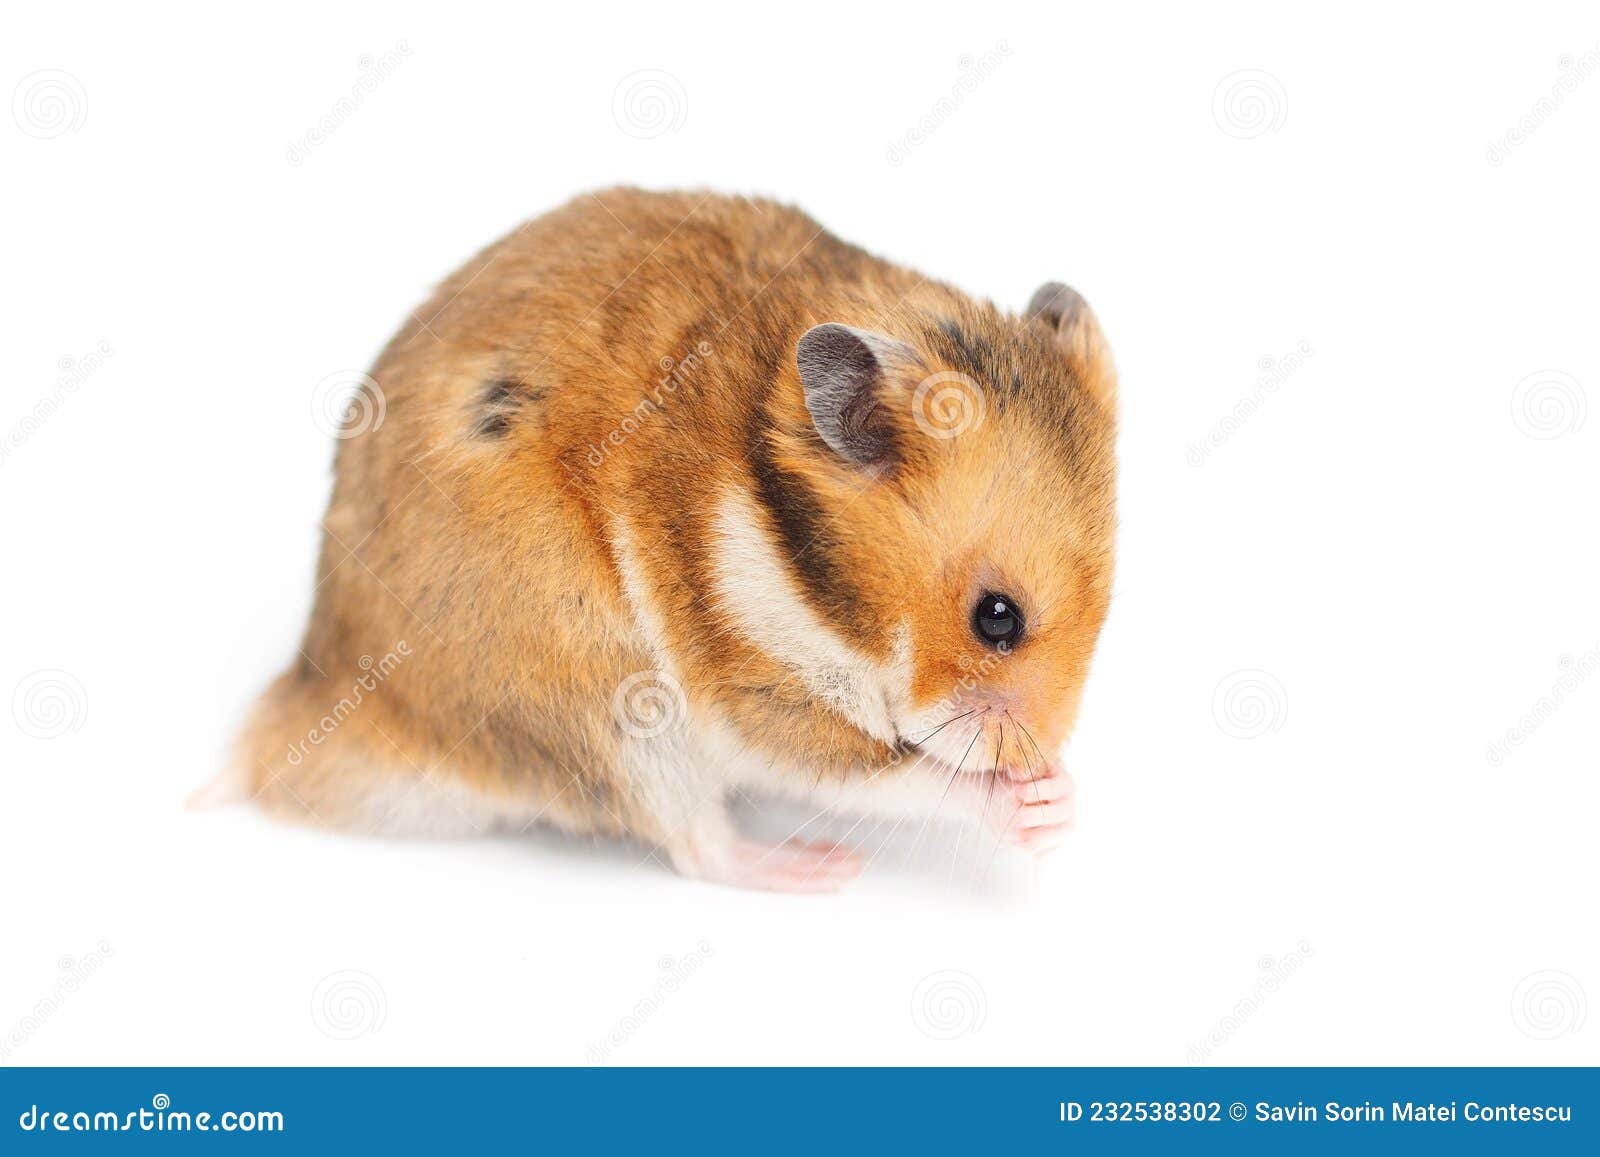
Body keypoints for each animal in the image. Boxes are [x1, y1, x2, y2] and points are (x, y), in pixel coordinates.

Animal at [234, 189, 1117, 892]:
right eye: (996, 618)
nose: (1041, 755)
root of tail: (315, 696)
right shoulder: (753, 696)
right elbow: (893, 774)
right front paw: (1033, 800)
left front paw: (1061, 796)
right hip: (602, 694)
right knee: (696, 844)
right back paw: (816, 869)